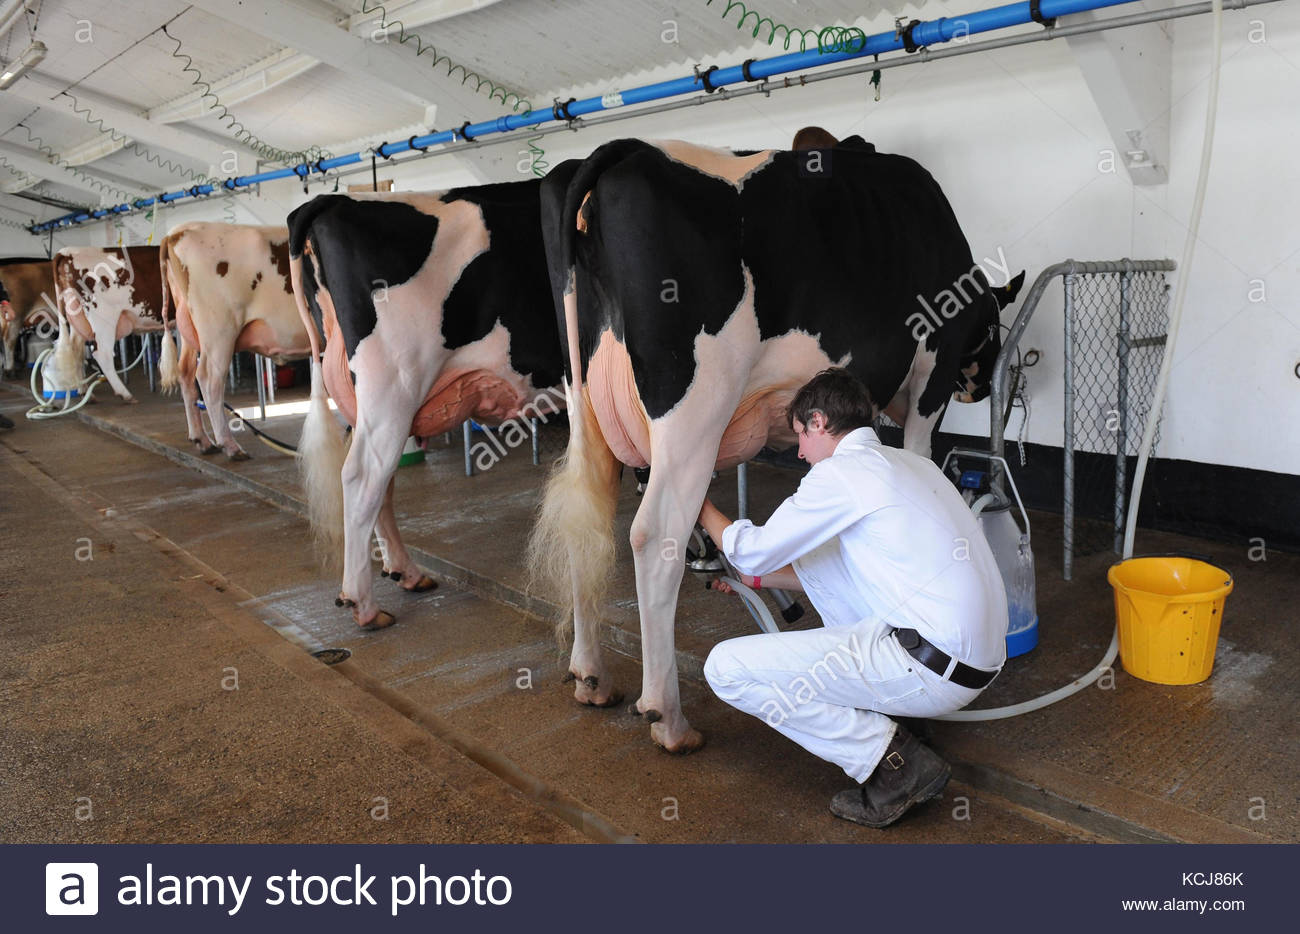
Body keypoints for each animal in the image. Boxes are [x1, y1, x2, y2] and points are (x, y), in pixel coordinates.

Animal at [53, 245, 163, 402]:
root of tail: (68, 251)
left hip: (76, 315)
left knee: (76, 349)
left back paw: (85, 391)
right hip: (104, 318)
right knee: (102, 353)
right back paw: (125, 394)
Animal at [158, 222, 310, 459]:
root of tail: (179, 231)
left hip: (189, 329)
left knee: (186, 373)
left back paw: (202, 440)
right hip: (220, 330)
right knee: (209, 378)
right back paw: (229, 445)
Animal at [288, 180, 565, 629]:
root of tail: (331, 200)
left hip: (369, 400)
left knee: (380, 481)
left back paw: (406, 572)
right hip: (392, 386)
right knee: (362, 476)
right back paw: (363, 604)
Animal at [527, 134, 1023, 752]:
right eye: (991, 327)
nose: (983, 386)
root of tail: (624, 150)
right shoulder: (931, 372)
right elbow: (915, 455)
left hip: (584, 404)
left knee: (586, 521)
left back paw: (590, 676)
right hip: (694, 405)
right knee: (654, 535)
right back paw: (668, 717)